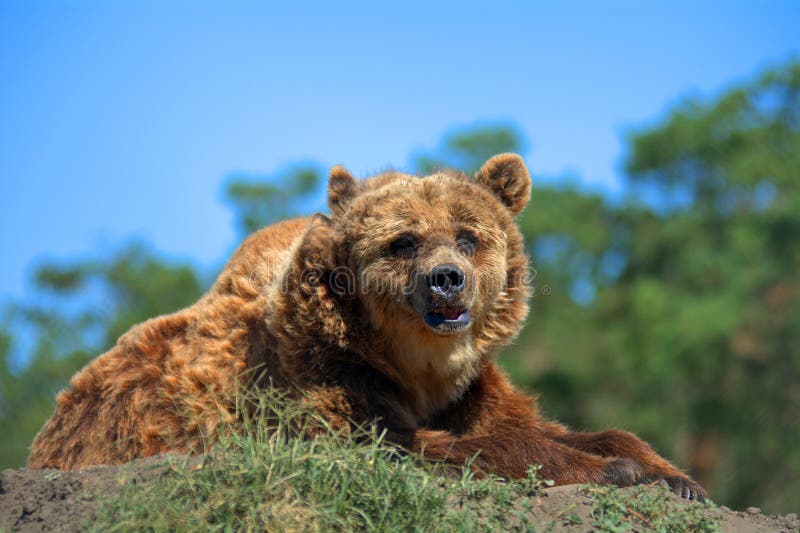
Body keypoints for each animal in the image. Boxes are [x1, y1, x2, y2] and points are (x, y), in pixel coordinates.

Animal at [28, 153, 706, 500]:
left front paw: (671, 473)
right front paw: (612, 471)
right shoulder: (325, 378)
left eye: (468, 235)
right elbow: (413, 445)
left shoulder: (468, 388)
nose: (446, 279)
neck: (418, 363)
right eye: (403, 242)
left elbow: (549, 426)